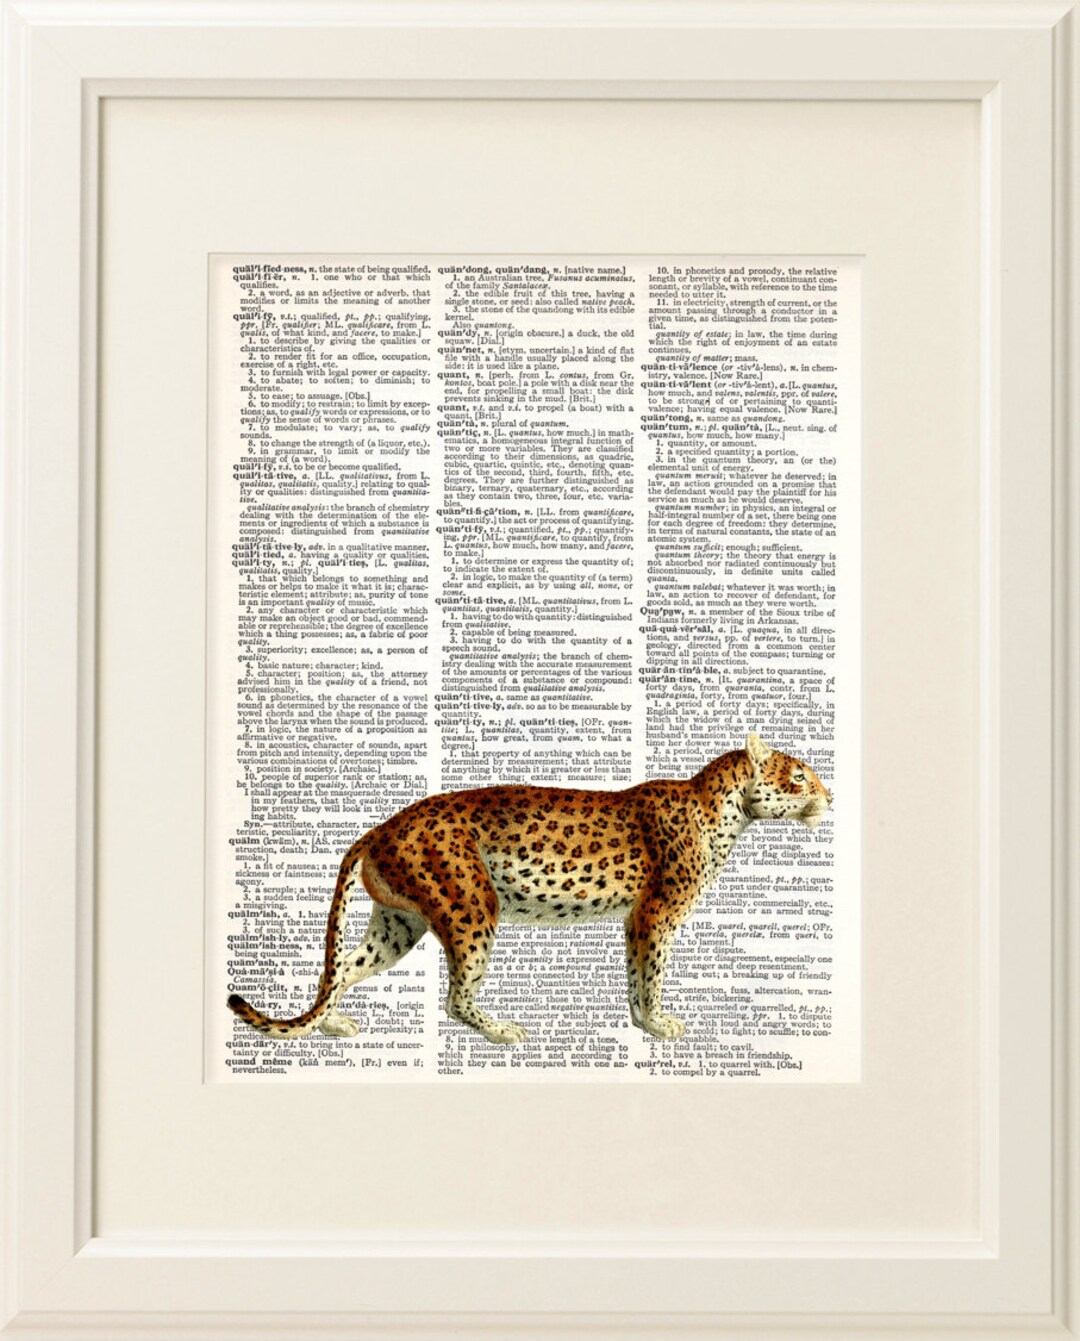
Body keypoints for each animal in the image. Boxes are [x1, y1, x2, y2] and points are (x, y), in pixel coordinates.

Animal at [227, 733, 831, 1044]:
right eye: (799, 776)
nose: (829, 797)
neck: (726, 812)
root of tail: (380, 828)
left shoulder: (637, 917)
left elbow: (637, 975)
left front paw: (642, 1023)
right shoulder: (657, 913)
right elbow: (653, 974)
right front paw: (660, 1024)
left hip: (399, 922)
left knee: (343, 968)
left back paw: (332, 1022)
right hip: (472, 907)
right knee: (455, 996)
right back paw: (501, 1031)